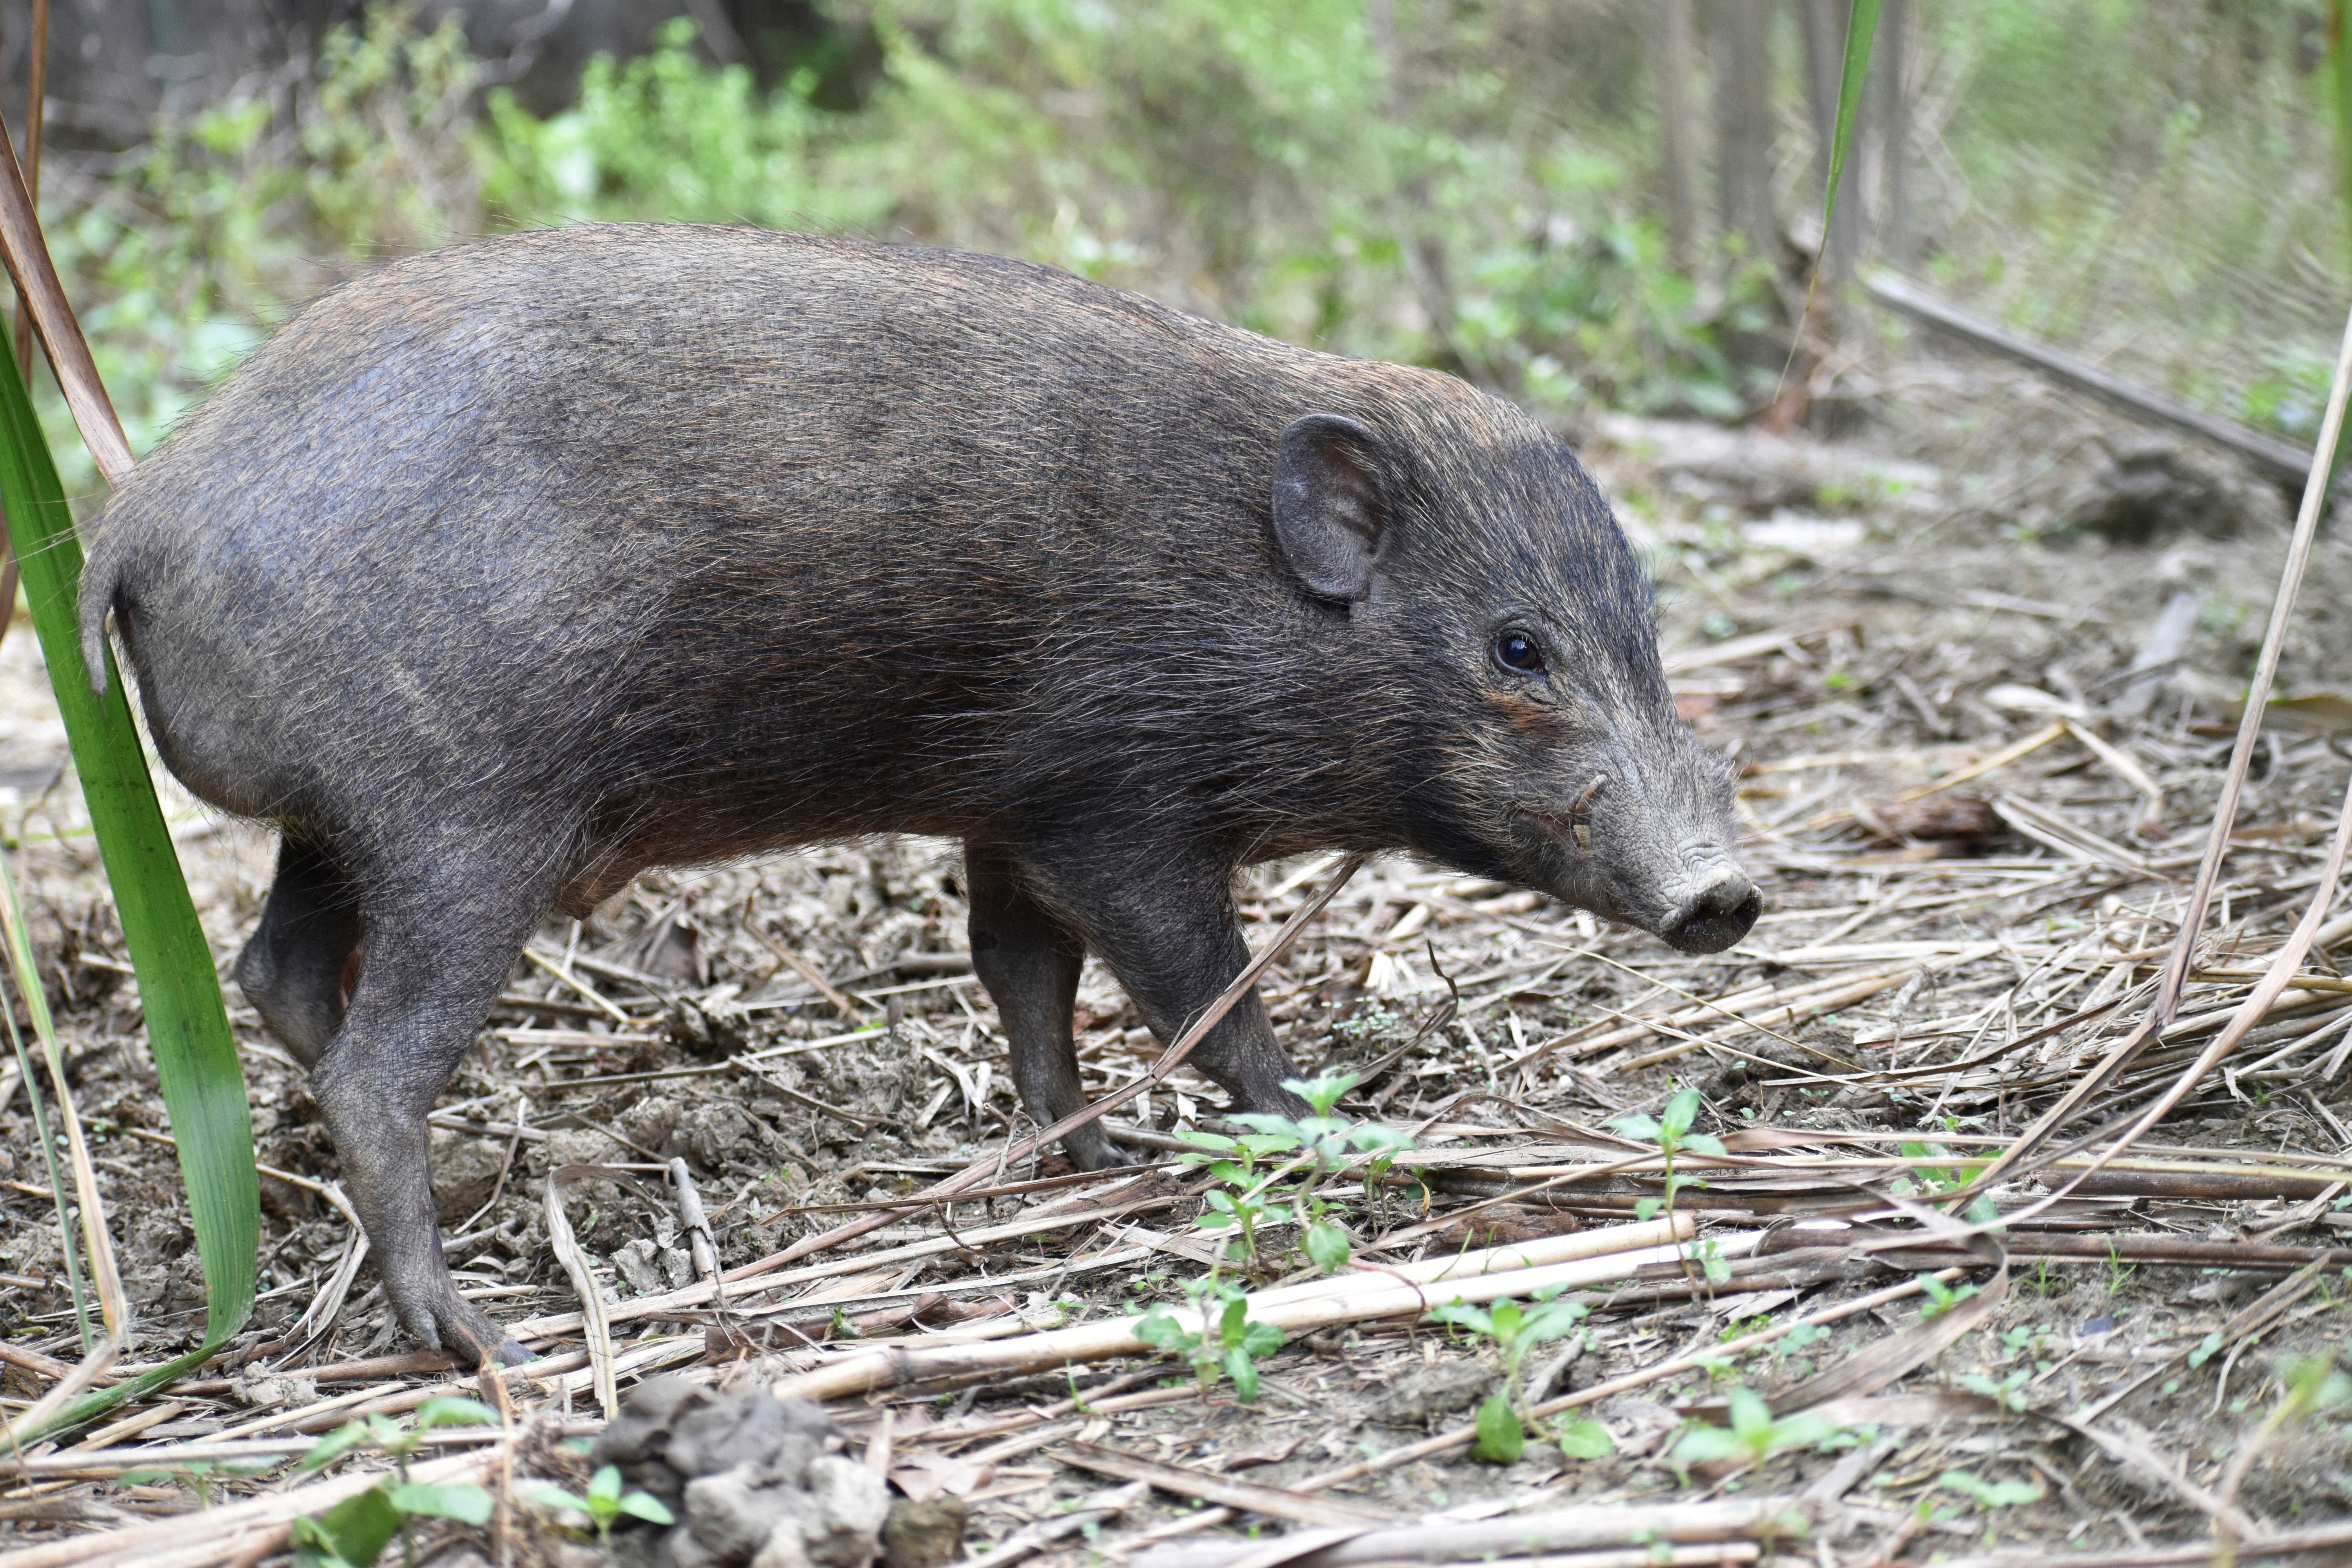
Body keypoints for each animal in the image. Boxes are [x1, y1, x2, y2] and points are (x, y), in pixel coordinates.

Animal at [78, 224, 1759, 1365]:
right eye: (1519, 645)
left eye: (1645, 627)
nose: (1727, 892)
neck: (1251, 592)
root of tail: (138, 515)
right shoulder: (1121, 809)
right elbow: (1196, 990)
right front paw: (1321, 1128)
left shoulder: (1017, 810)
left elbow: (1022, 977)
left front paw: (1092, 1160)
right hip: (461, 826)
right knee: (370, 1063)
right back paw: (482, 1335)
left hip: (344, 825)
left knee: (278, 970)